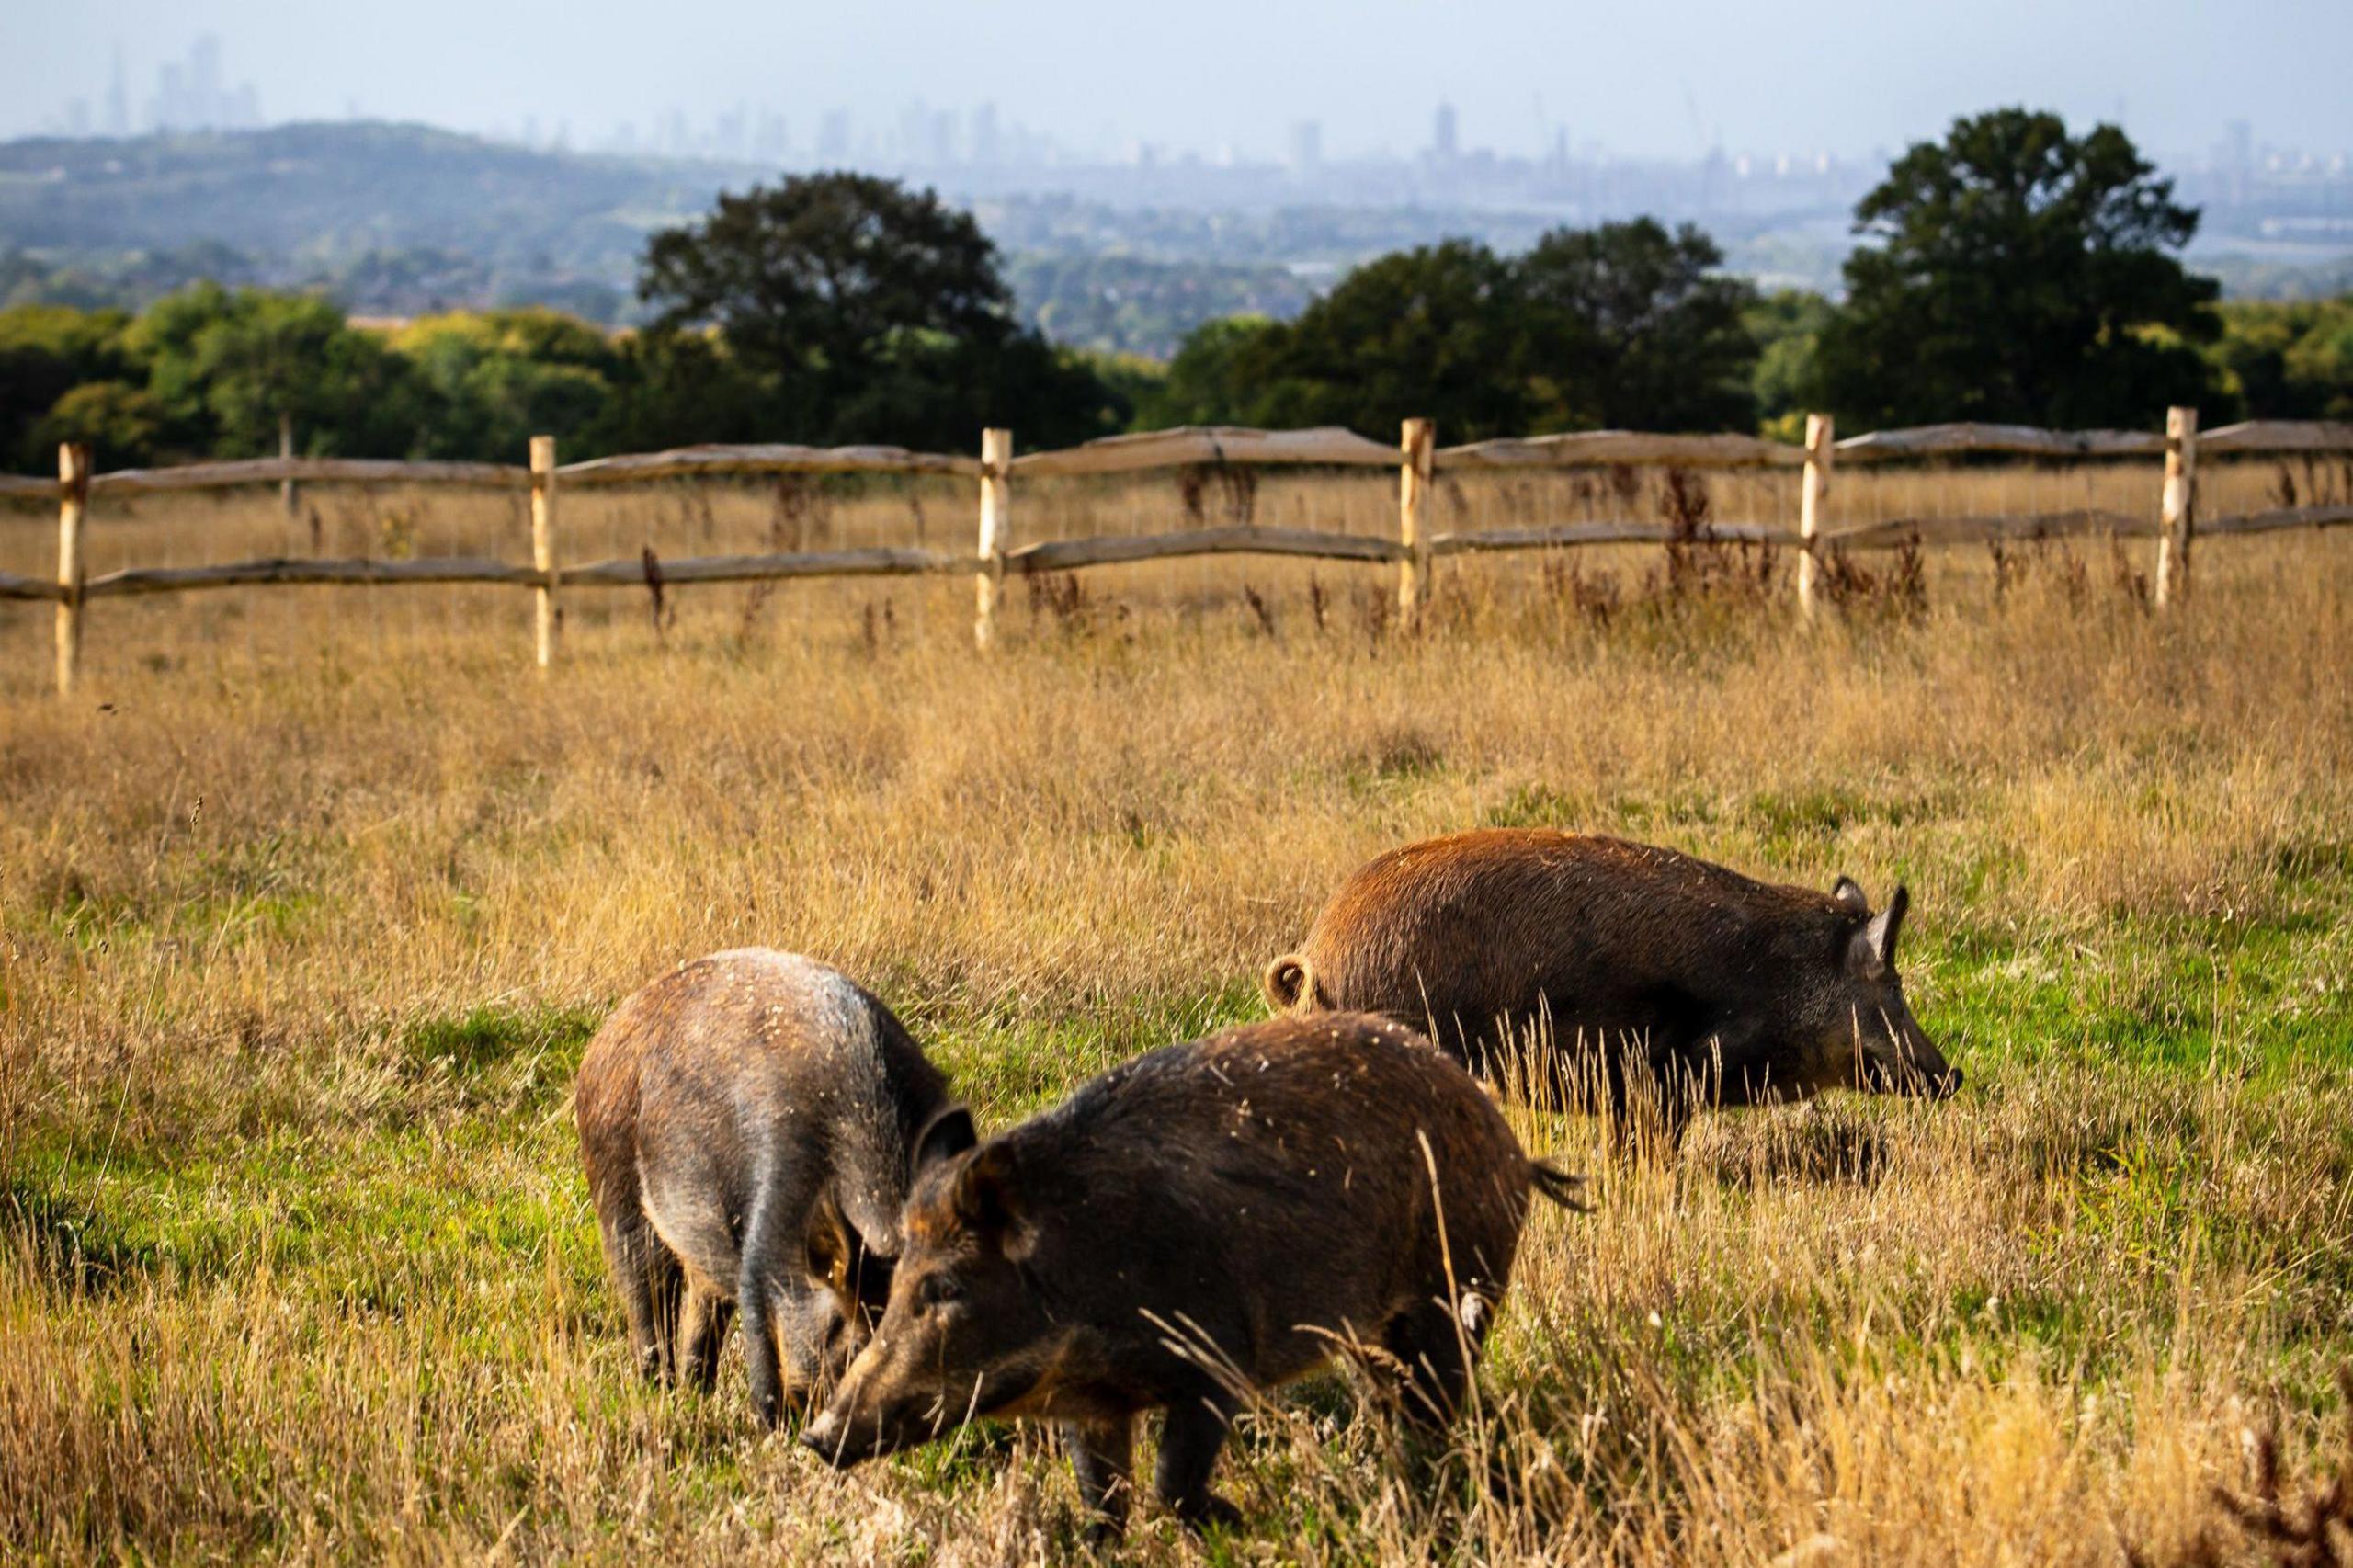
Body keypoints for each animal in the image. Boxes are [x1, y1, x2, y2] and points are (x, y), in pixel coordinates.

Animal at [574, 948, 953, 1426]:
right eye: (847, 1339)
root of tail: (607, 1033)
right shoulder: (762, 1240)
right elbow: (760, 1340)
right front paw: (771, 1425)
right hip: (614, 1179)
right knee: (646, 1290)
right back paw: (658, 1388)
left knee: (703, 1304)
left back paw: (695, 1391)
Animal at [800, 1013, 1586, 1539]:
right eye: (896, 1285)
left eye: (945, 1288)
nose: (817, 1436)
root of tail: (1511, 1146)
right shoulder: (1092, 1406)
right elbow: (1102, 1497)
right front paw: (1103, 1541)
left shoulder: (1214, 1356)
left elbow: (1172, 1482)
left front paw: (1232, 1521)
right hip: (1371, 1331)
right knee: (1391, 1400)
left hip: (1457, 1287)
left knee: (1439, 1404)